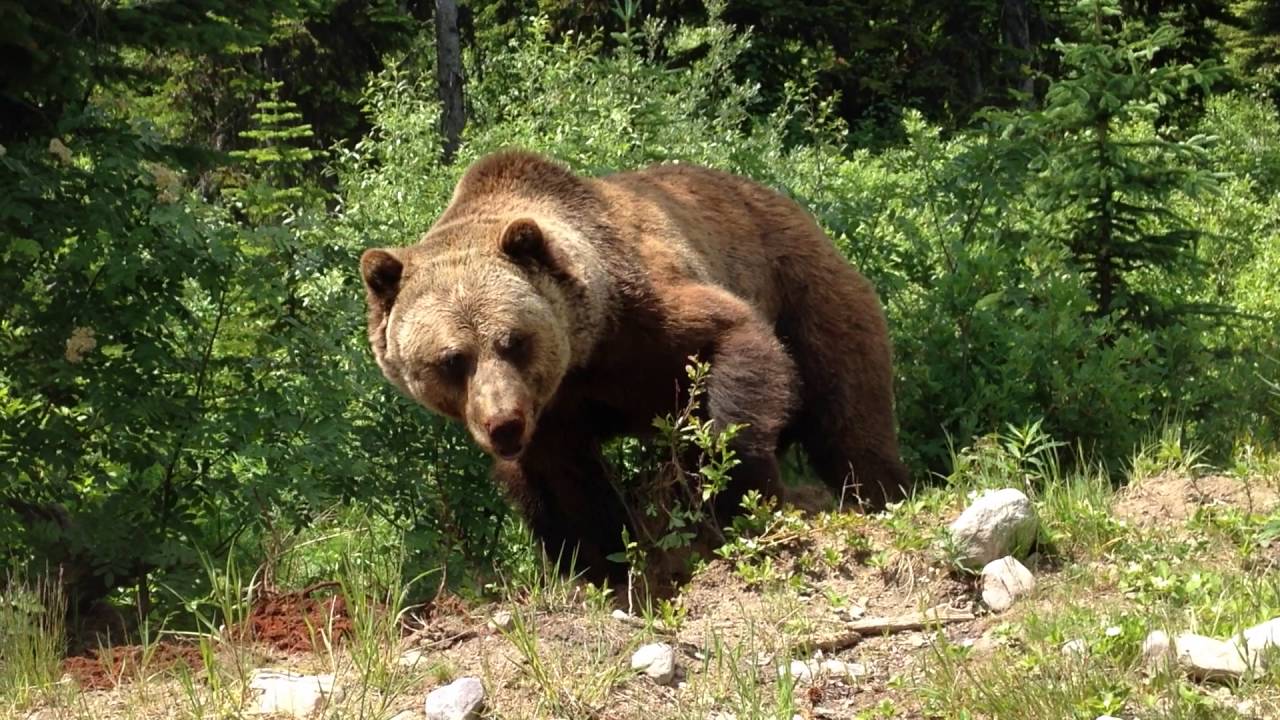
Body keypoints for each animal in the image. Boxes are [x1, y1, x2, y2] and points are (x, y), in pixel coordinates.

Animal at [360, 150, 909, 585]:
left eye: (513, 341)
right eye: (453, 359)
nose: (504, 423)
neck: (586, 354)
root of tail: (790, 204)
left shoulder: (646, 313)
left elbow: (732, 343)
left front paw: (737, 493)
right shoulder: (555, 411)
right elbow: (565, 483)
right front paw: (602, 562)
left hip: (807, 291)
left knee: (847, 413)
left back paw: (879, 490)